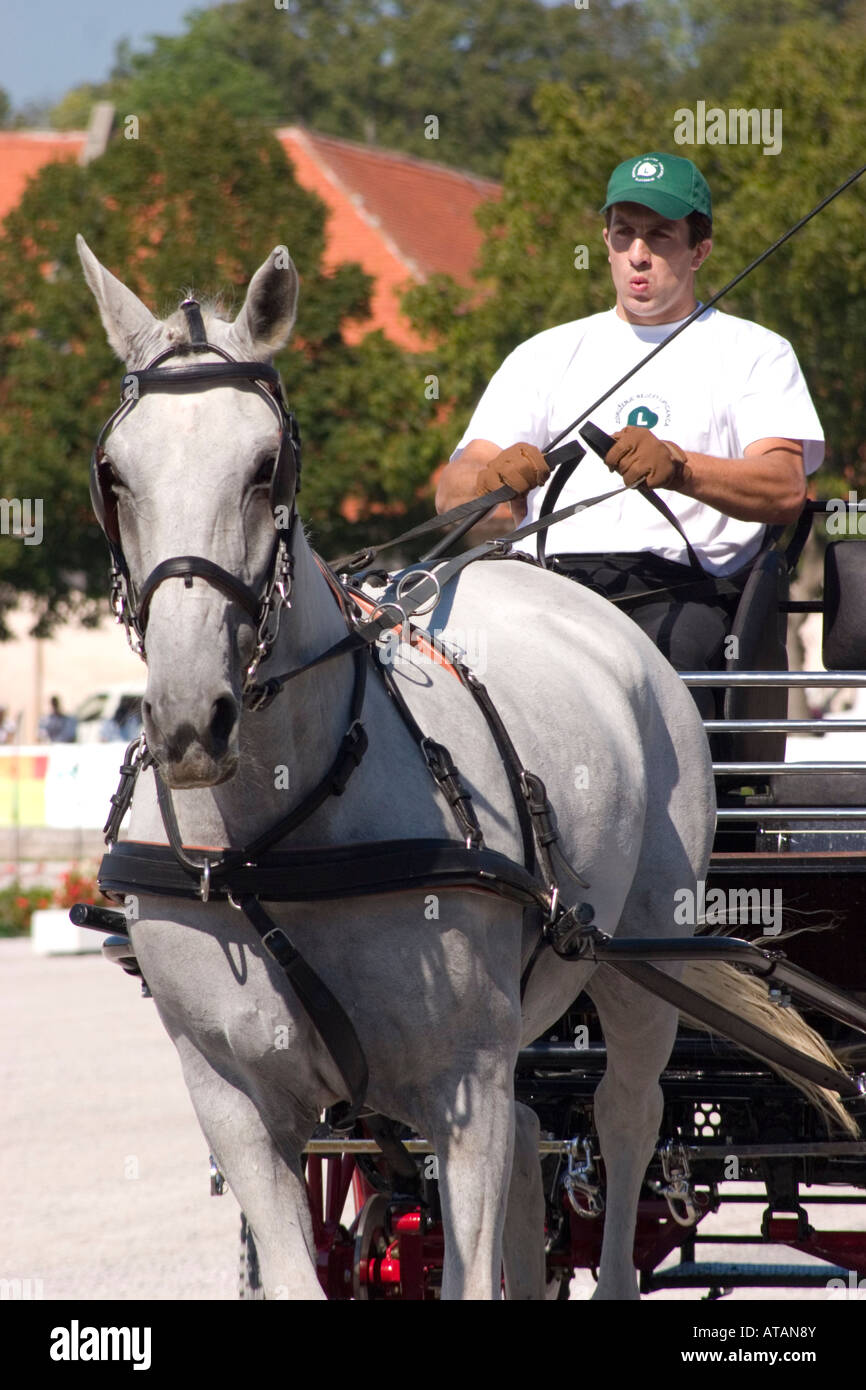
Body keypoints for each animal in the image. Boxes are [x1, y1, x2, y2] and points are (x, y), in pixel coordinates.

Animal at [75, 236, 827, 1300]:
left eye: (267, 466)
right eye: (113, 471)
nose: (189, 719)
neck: (281, 830)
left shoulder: (460, 1084)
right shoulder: (236, 1101)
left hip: (651, 958)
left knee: (625, 1123)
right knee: (534, 1134)